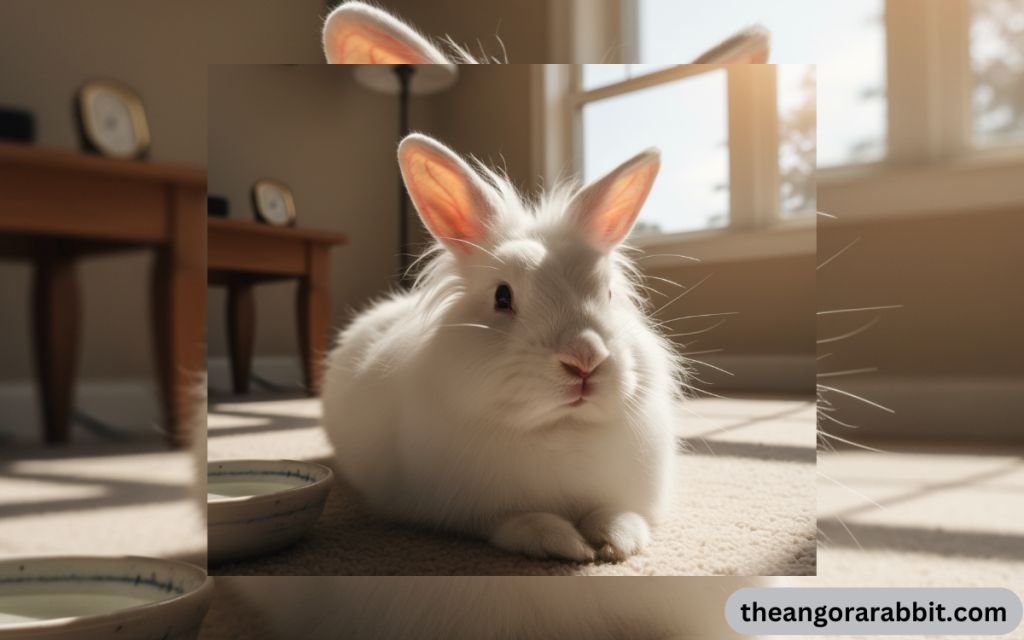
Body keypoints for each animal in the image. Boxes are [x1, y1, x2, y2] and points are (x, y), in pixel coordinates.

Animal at [321, 133, 683, 562]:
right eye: (502, 297)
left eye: (609, 294)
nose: (584, 360)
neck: (559, 427)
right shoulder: (458, 509)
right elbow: (516, 521)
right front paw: (565, 544)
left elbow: (614, 513)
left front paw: (618, 540)